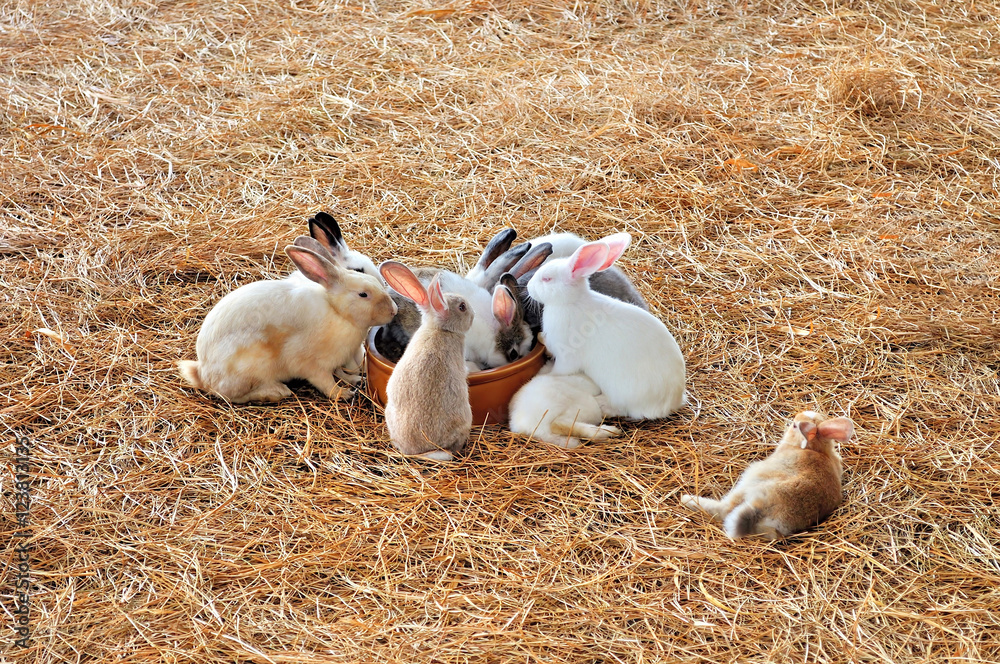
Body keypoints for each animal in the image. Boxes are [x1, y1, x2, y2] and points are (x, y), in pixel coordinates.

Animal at [178, 244, 397, 403]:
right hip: (252, 367)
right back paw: (276, 392)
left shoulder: (338, 360)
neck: (338, 312)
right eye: (363, 294)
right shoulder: (312, 365)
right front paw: (343, 394)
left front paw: (355, 380)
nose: (393, 310)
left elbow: (342, 372)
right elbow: (327, 383)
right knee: (233, 396)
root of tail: (202, 372)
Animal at [526, 233, 686, 420]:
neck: (570, 303)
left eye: (547, 279)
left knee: (621, 408)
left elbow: (559, 371)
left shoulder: (567, 357)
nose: (528, 287)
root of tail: (672, 402)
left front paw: (547, 375)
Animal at [680, 412, 851, 540]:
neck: (817, 449)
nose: (794, 418)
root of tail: (762, 507)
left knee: (724, 509)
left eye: (795, 426)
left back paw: (687, 499)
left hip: (748, 482)